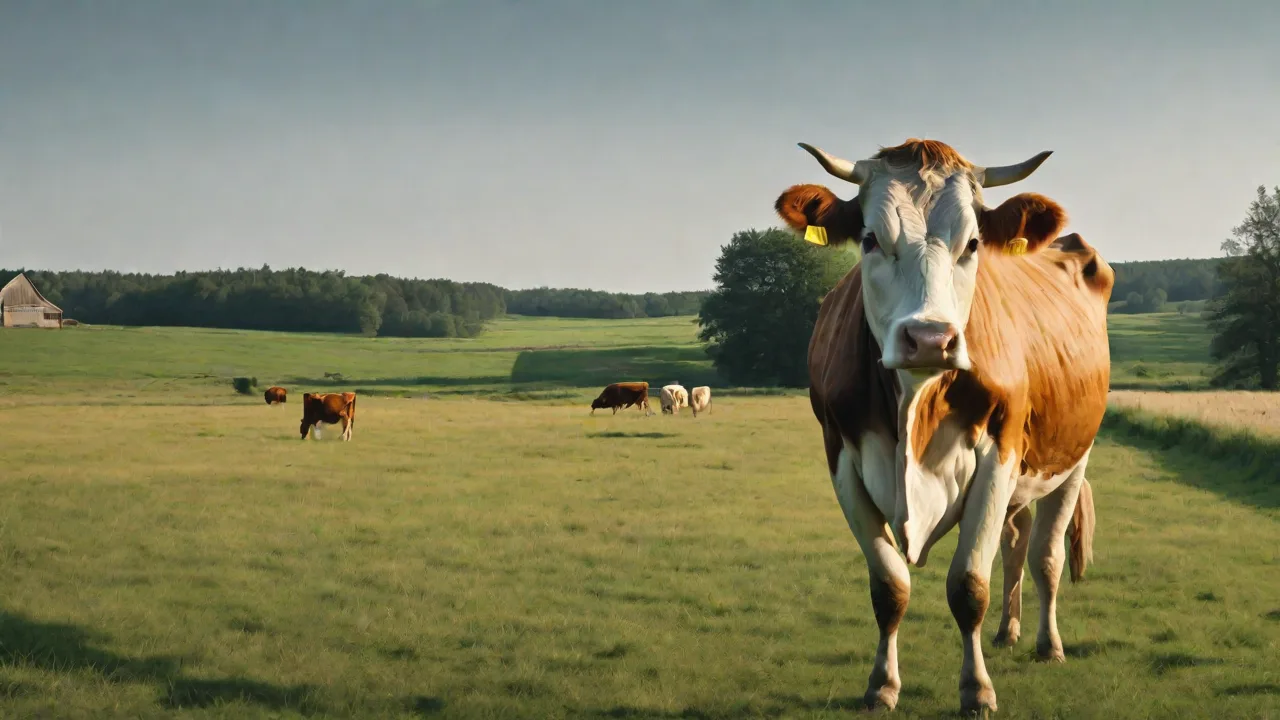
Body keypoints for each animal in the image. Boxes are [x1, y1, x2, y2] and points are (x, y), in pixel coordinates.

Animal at [775, 138, 1111, 715]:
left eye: (973, 243)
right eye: (870, 239)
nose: (931, 338)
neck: (918, 402)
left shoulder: (1000, 455)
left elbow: (969, 584)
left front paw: (976, 690)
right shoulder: (842, 460)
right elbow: (889, 585)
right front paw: (882, 685)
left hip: (1071, 461)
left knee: (1045, 556)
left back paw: (1047, 644)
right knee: (1016, 543)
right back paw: (1007, 631)